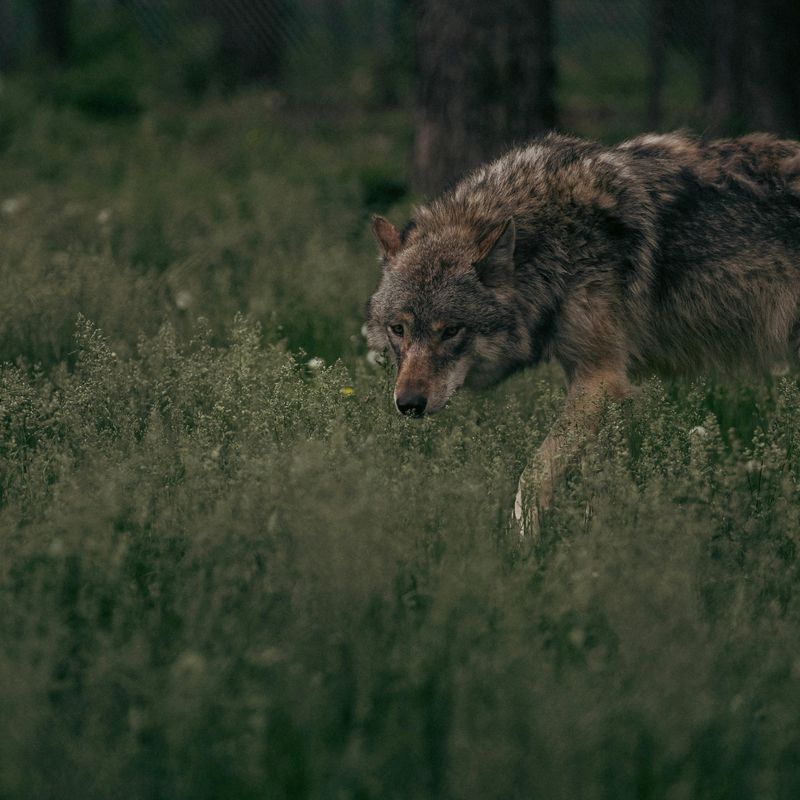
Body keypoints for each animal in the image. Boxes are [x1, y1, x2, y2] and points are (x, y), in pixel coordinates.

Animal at [365, 132, 800, 532]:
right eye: (398, 329)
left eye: (452, 330)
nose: (408, 404)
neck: (552, 243)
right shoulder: (594, 383)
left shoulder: (601, 379)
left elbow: (532, 477)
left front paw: (525, 549)